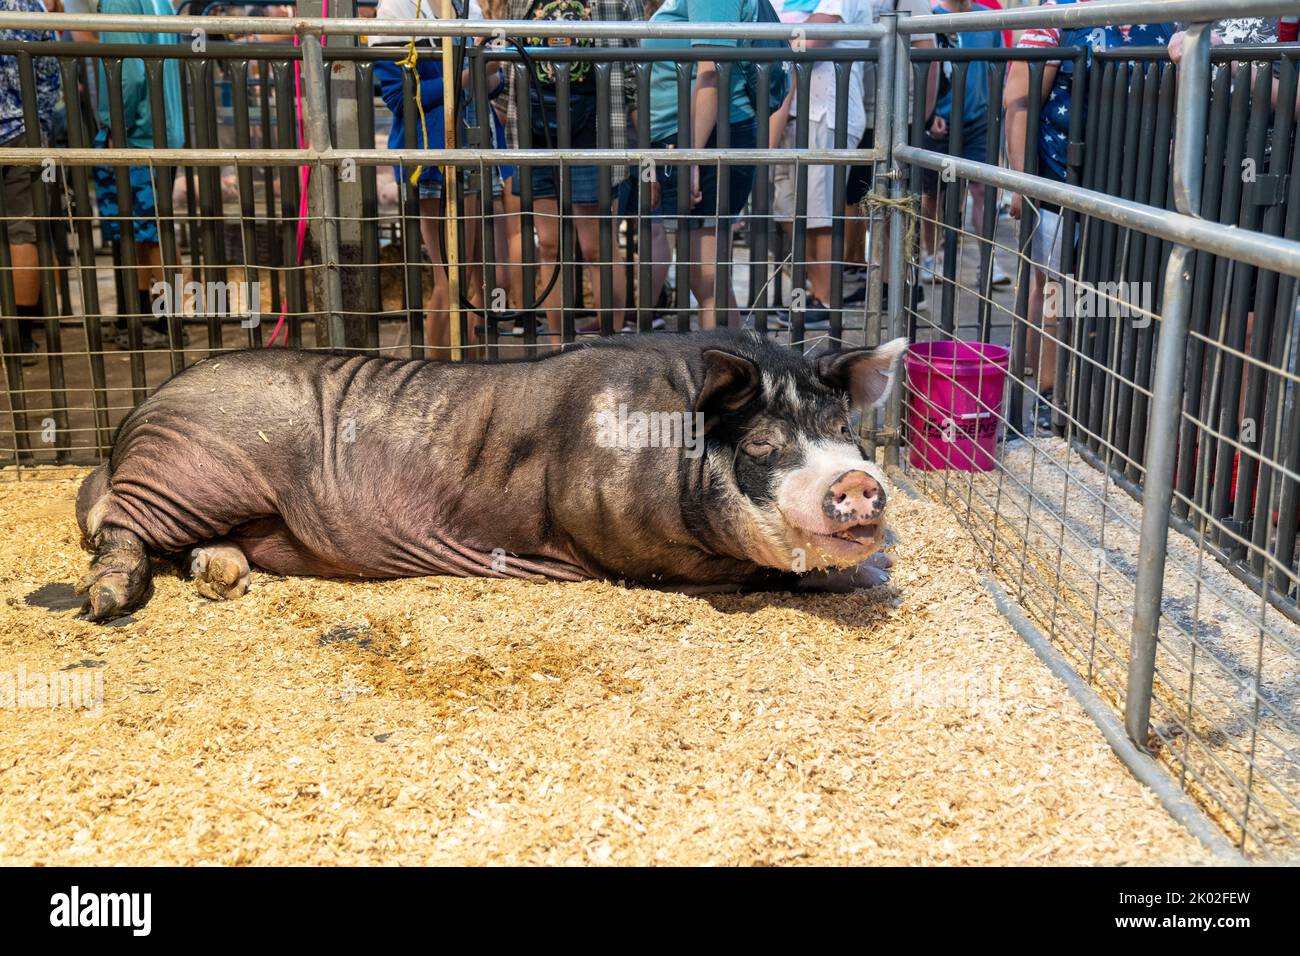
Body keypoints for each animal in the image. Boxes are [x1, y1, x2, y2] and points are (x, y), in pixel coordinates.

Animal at [74, 330, 907, 621]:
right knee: (117, 528)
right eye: (763, 443)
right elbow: (769, 573)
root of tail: (135, 420)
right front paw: (867, 579)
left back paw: (222, 575)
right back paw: (107, 601)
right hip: (190, 468)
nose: (857, 482)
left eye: (843, 431)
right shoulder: (644, 553)